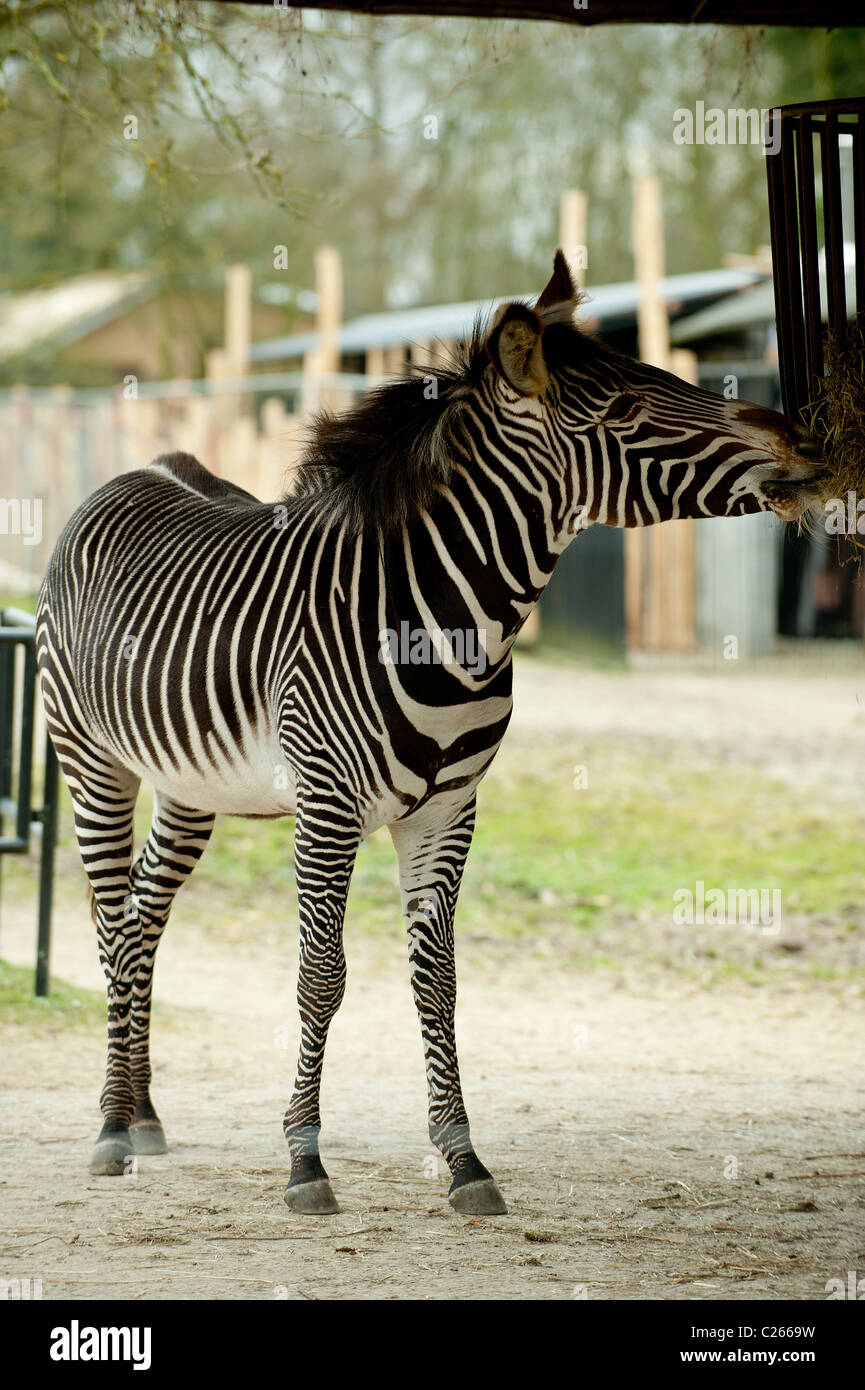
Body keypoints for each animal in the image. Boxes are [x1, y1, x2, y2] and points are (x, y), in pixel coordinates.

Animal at [36, 252, 824, 1217]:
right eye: (624, 414)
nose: (806, 443)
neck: (449, 620)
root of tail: (147, 465)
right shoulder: (327, 807)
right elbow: (322, 976)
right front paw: (305, 1162)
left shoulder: (450, 809)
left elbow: (436, 981)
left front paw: (462, 1160)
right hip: (92, 761)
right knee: (112, 922)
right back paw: (111, 1125)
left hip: (190, 785)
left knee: (144, 917)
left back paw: (143, 1112)